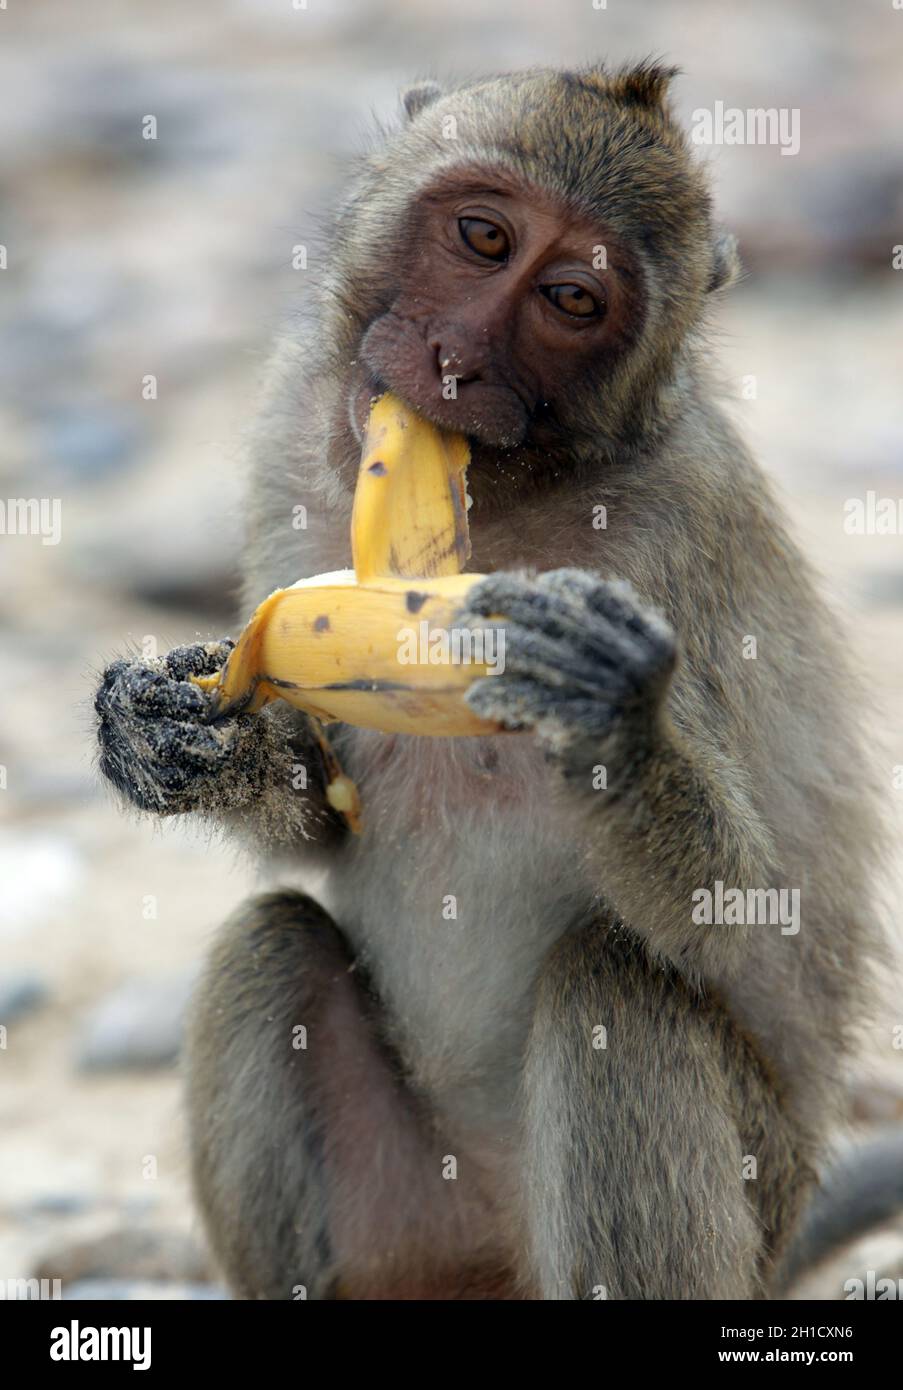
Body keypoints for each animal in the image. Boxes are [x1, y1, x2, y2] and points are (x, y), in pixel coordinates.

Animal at [94, 62, 895, 1299]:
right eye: (482, 236)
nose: (455, 361)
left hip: (751, 1204)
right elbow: (322, 822)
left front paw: (608, 710)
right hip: (406, 1225)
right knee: (269, 942)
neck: (515, 495)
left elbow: (755, 912)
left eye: (571, 300)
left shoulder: (677, 539)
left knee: (614, 984)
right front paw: (179, 736)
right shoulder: (289, 439)